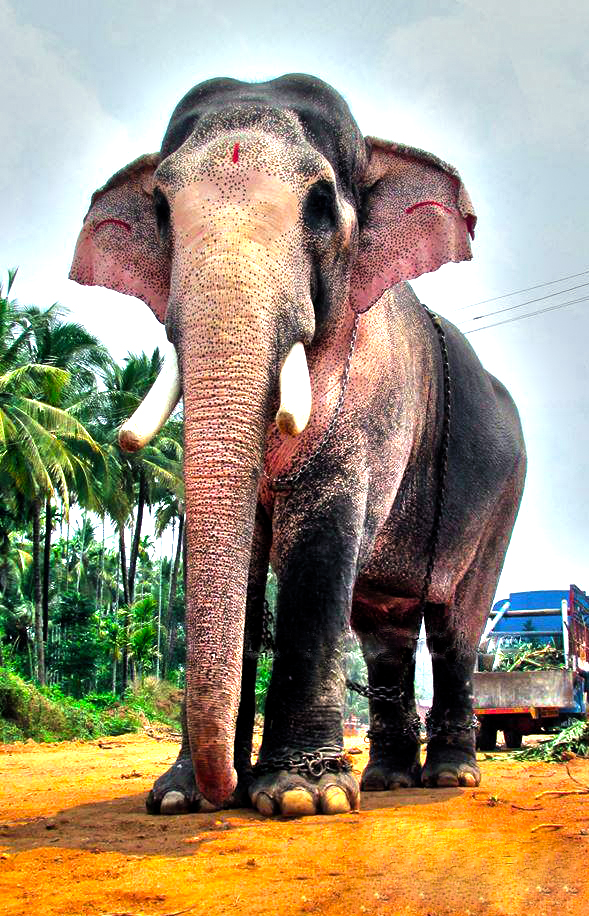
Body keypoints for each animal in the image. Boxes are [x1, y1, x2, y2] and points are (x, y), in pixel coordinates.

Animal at [70, 73, 526, 818]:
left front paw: (300, 797)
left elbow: (320, 541)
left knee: (455, 622)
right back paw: (387, 778)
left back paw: (450, 777)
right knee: (385, 635)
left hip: (501, 501)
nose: (223, 787)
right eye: (162, 209)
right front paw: (179, 797)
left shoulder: (373, 406)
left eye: (319, 204)